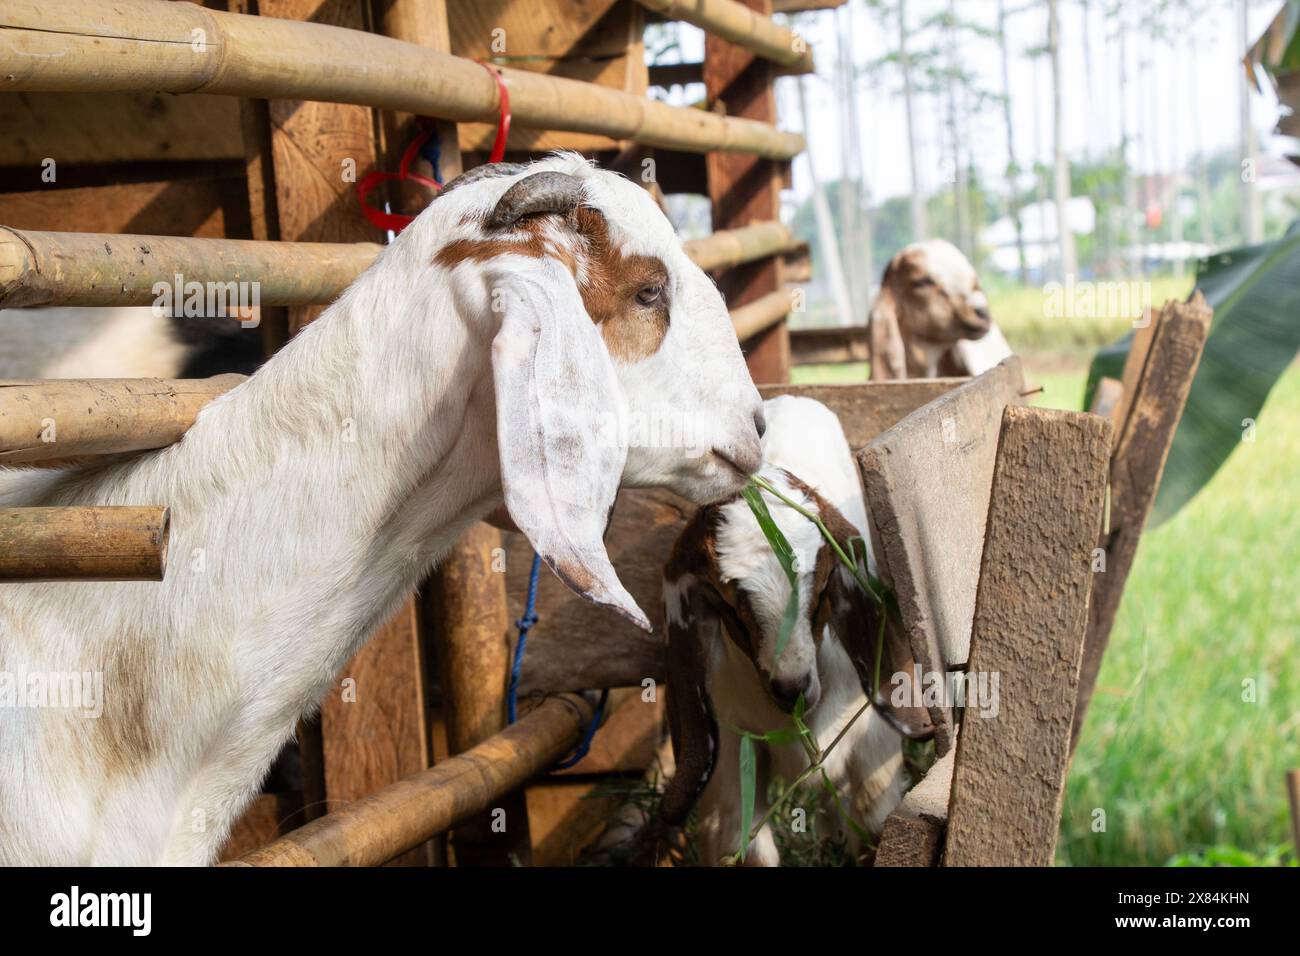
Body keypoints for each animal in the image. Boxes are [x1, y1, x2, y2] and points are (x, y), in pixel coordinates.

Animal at [659, 395, 932, 865]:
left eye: (821, 589)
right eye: (728, 606)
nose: (792, 688)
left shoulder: (873, 746)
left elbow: (870, 821)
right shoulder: (733, 755)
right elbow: (743, 842)